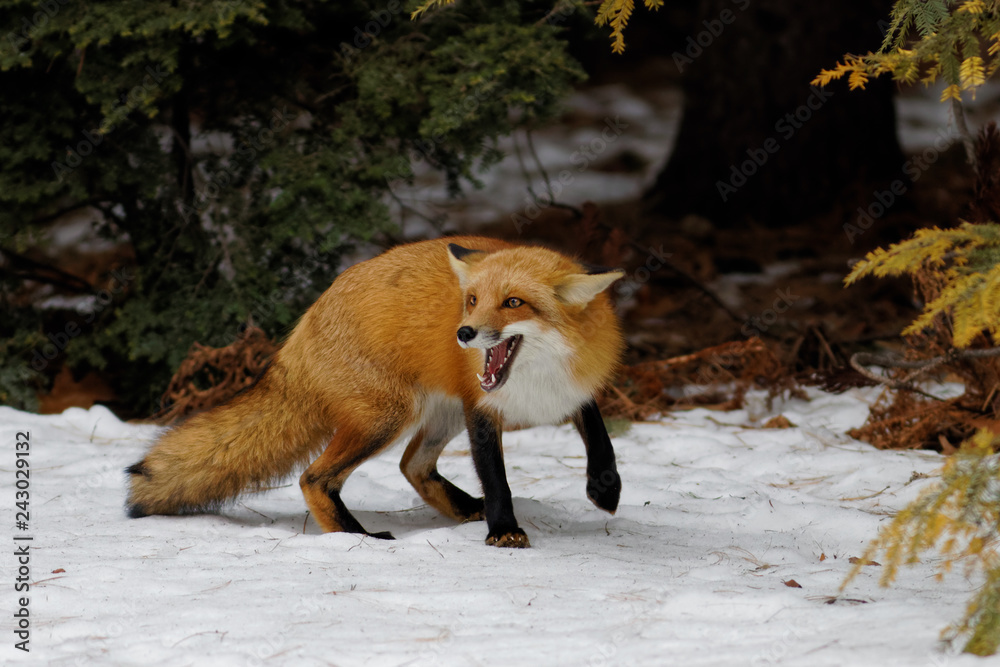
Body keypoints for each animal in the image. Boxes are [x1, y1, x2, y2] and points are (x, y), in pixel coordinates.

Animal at [125, 236, 625, 548]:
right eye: (472, 300)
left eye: (514, 302)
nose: (463, 333)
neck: (537, 382)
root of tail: (310, 315)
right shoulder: (481, 407)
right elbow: (495, 476)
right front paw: (504, 531)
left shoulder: (575, 388)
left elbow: (600, 435)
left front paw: (605, 489)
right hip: (387, 417)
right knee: (314, 478)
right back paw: (359, 537)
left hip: (436, 414)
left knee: (412, 466)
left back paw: (465, 507)